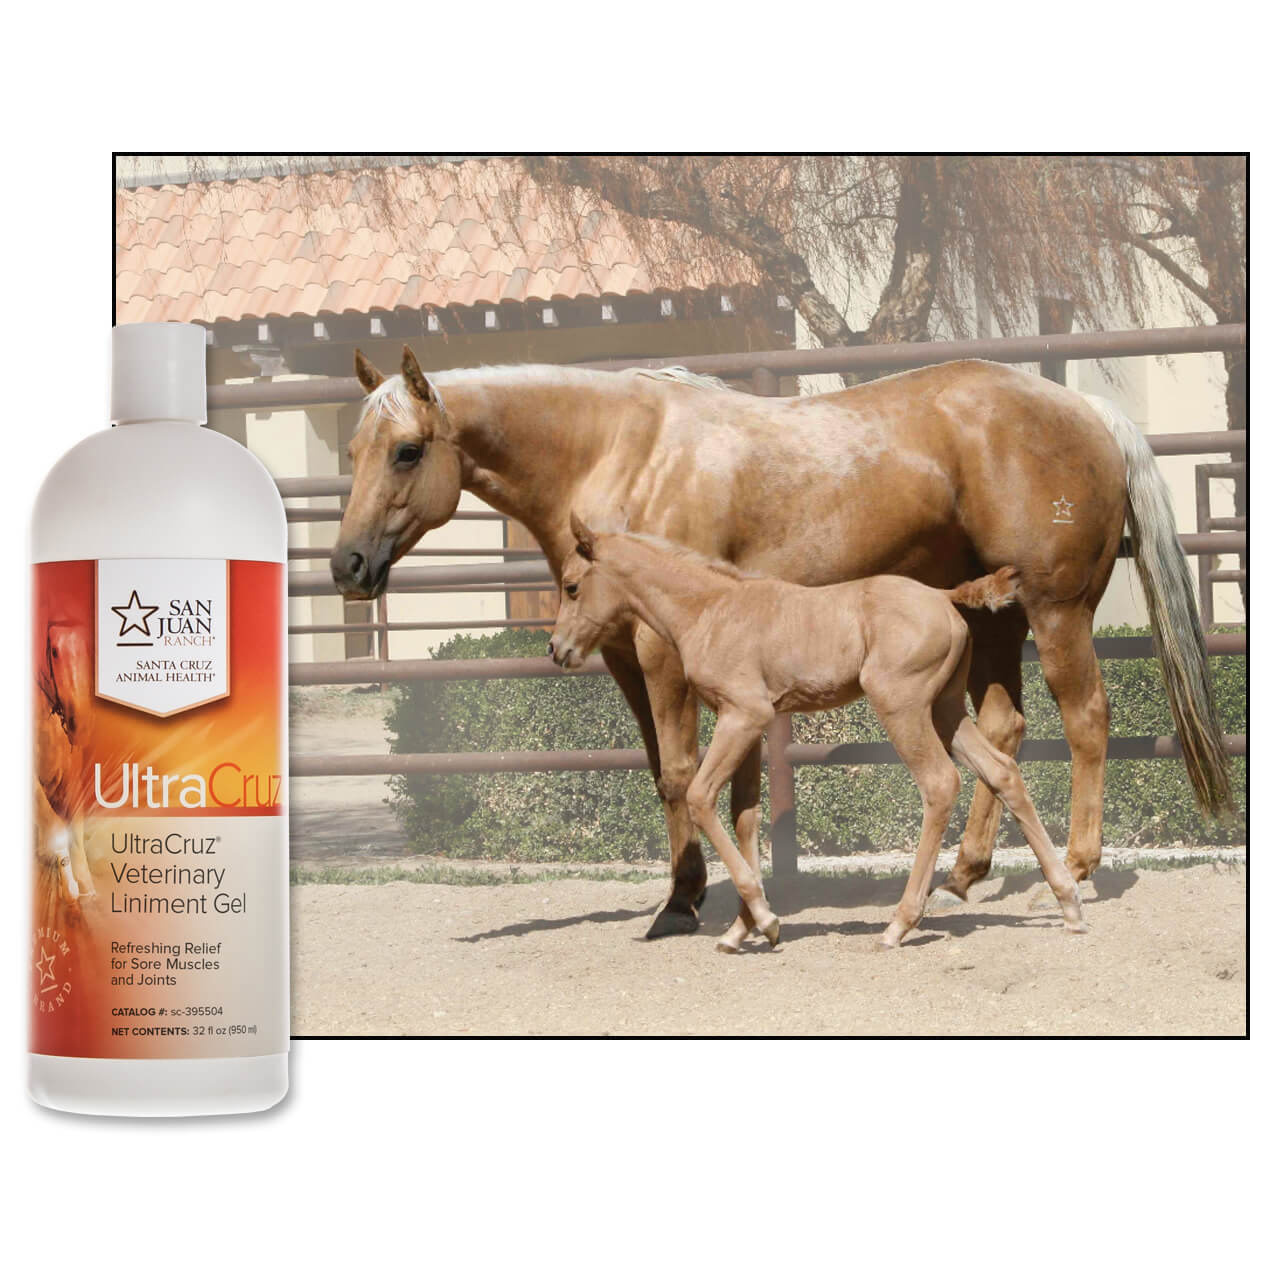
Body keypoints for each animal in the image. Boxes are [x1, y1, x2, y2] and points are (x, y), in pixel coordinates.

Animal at [549, 519, 1087, 949]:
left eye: (572, 586)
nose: (557, 649)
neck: (710, 609)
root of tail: (942, 595)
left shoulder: (742, 715)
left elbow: (701, 798)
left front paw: (765, 920)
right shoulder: (747, 722)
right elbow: (745, 817)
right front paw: (743, 929)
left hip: (903, 707)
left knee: (939, 784)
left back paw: (899, 923)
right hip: (945, 709)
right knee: (1003, 771)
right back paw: (1068, 904)